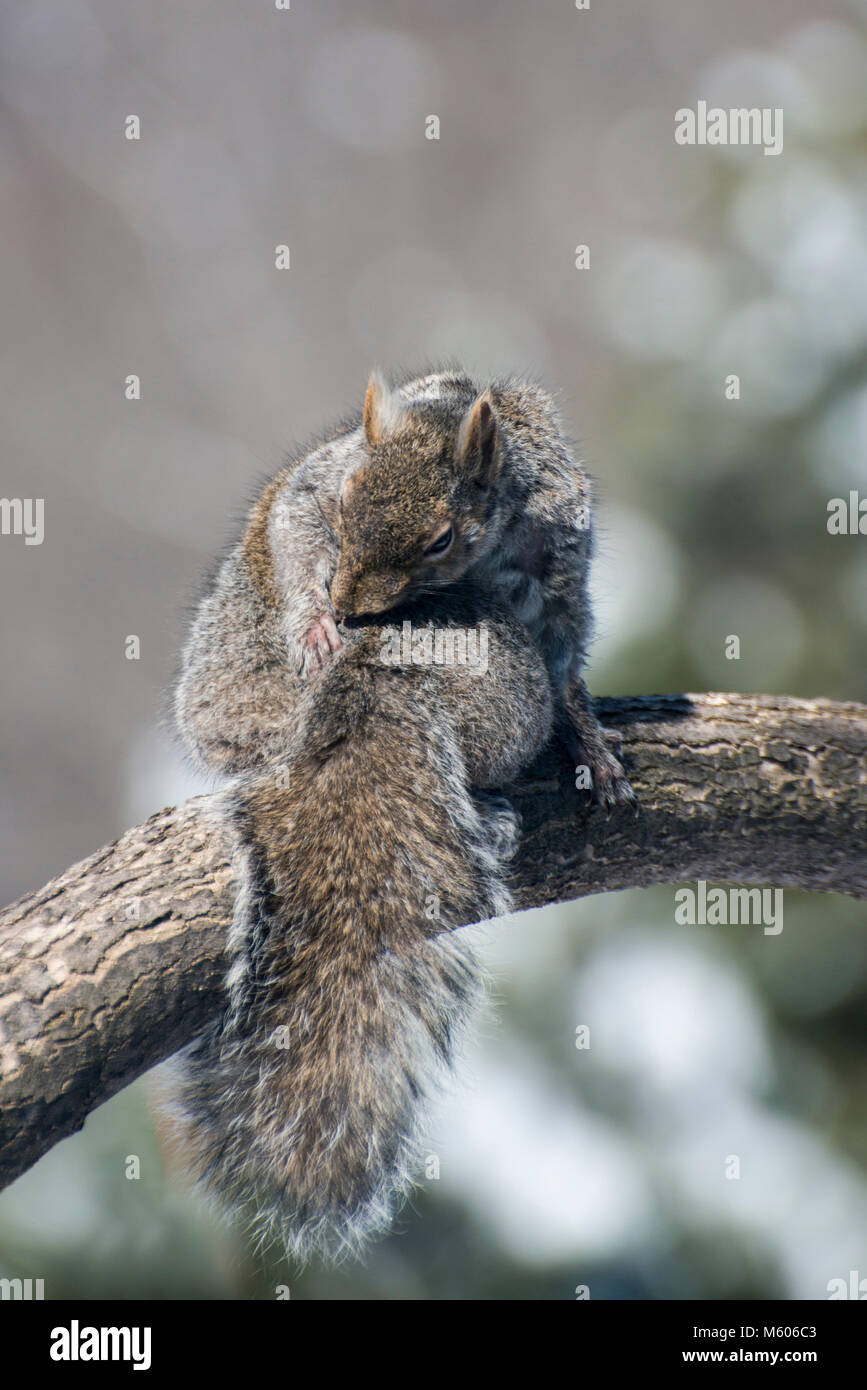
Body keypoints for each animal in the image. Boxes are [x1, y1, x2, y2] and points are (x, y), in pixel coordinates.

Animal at [166, 368, 632, 1261]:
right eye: (349, 499)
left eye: (439, 540)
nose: (348, 610)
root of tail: (364, 687)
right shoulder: (319, 492)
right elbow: (297, 523)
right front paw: (311, 614)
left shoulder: (558, 560)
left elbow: (565, 652)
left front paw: (590, 742)